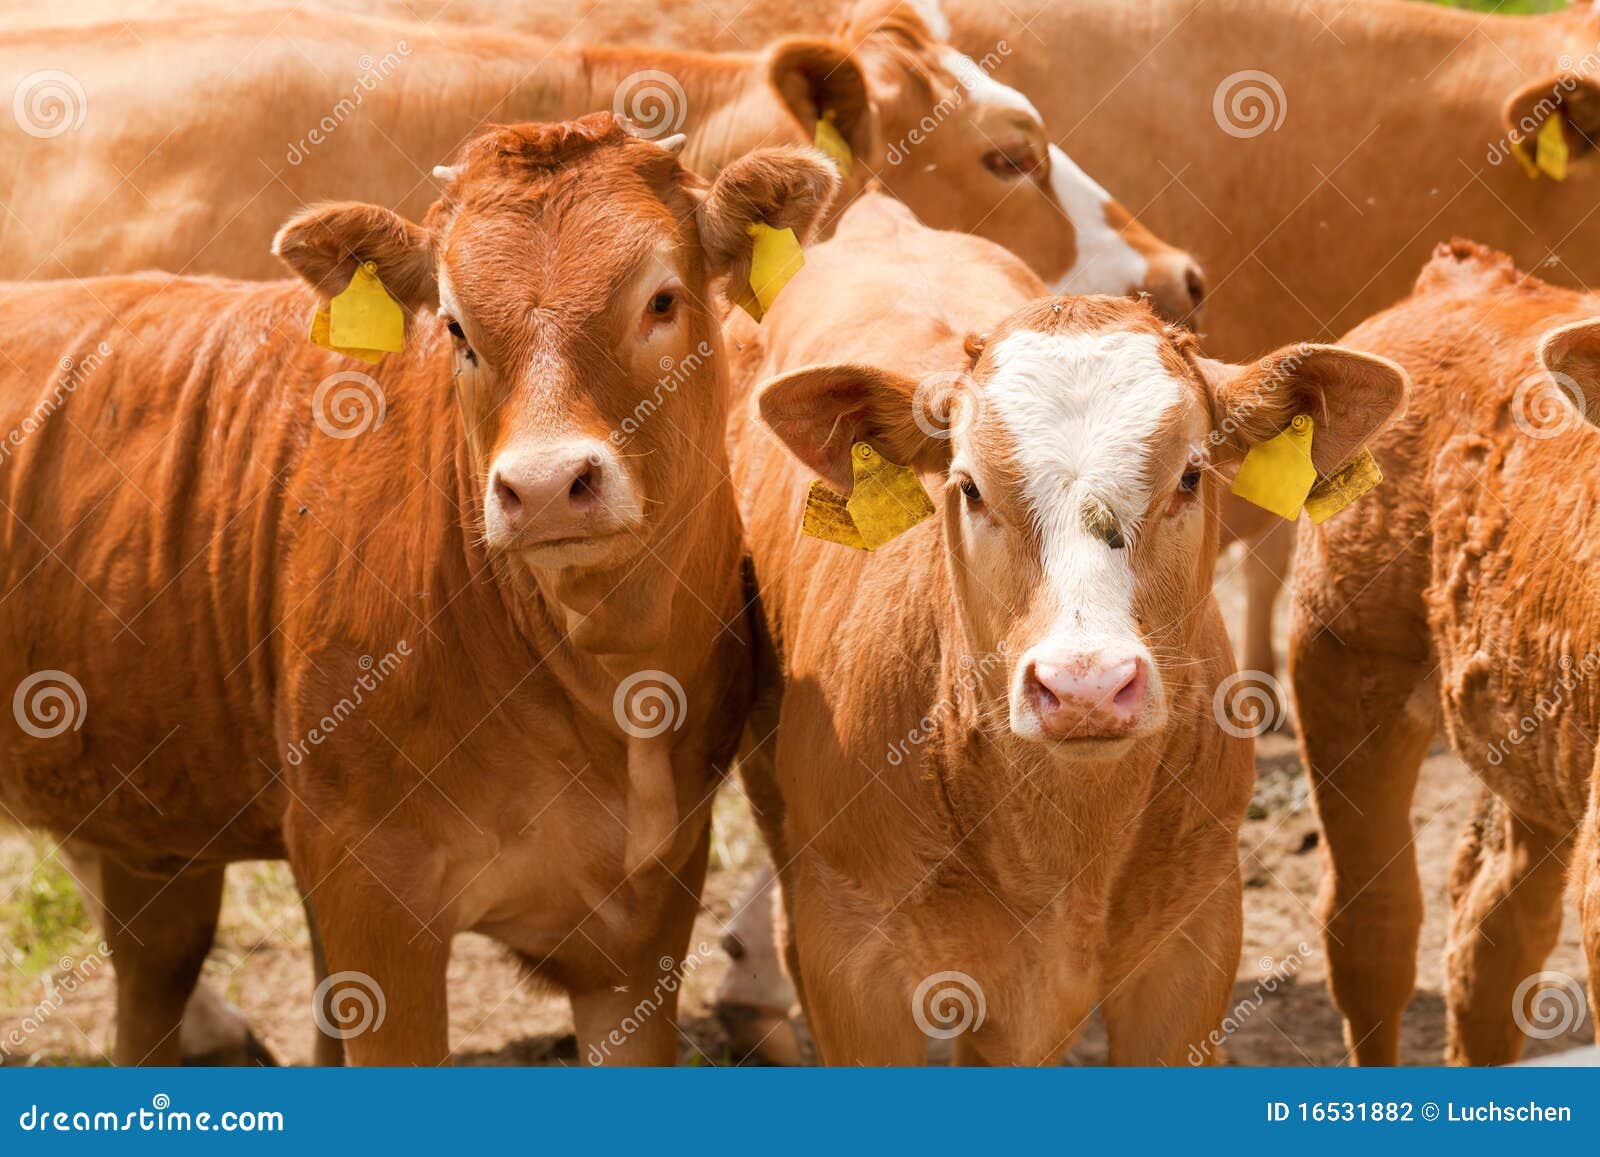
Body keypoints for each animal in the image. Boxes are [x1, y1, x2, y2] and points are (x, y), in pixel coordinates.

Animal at [0, 113, 837, 1065]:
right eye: (456, 327)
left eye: (661, 300)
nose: (546, 487)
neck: (603, 684)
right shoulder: (369, 887)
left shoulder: (645, 917)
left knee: (153, 961)